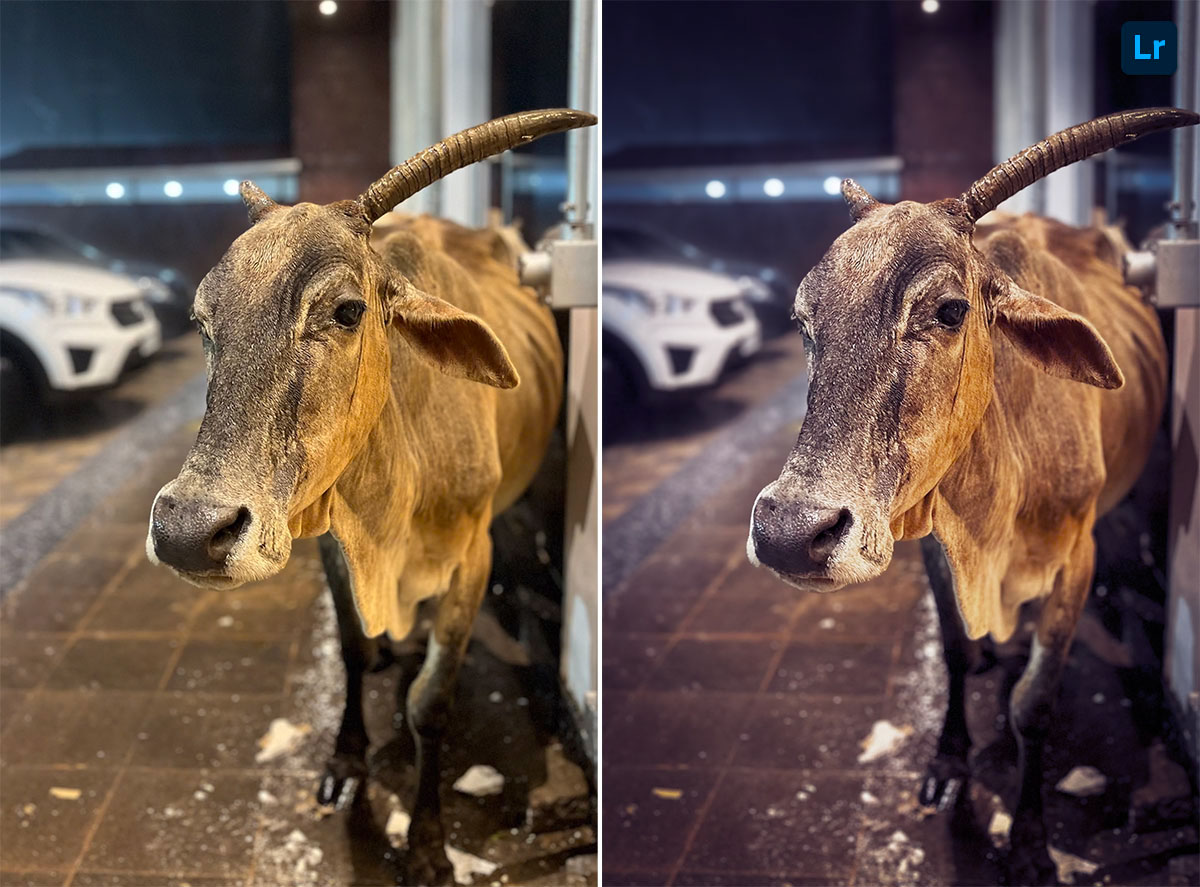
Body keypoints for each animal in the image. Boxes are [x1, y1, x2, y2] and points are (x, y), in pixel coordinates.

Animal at [146, 108, 595, 885]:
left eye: (348, 309)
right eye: (204, 320)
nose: (187, 529)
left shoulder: (470, 559)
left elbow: (431, 703)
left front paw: (426, 845)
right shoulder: (330, 542)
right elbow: (354, 649)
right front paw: (346, 759)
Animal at [747, 107, 1198, 884]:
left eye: (950, 309)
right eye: (805, 320)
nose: (789, 531)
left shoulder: (1075, 557)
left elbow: (1034, 703)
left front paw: (1029, 843)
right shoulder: (933, 542)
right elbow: (956, 649)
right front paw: (948, 761)